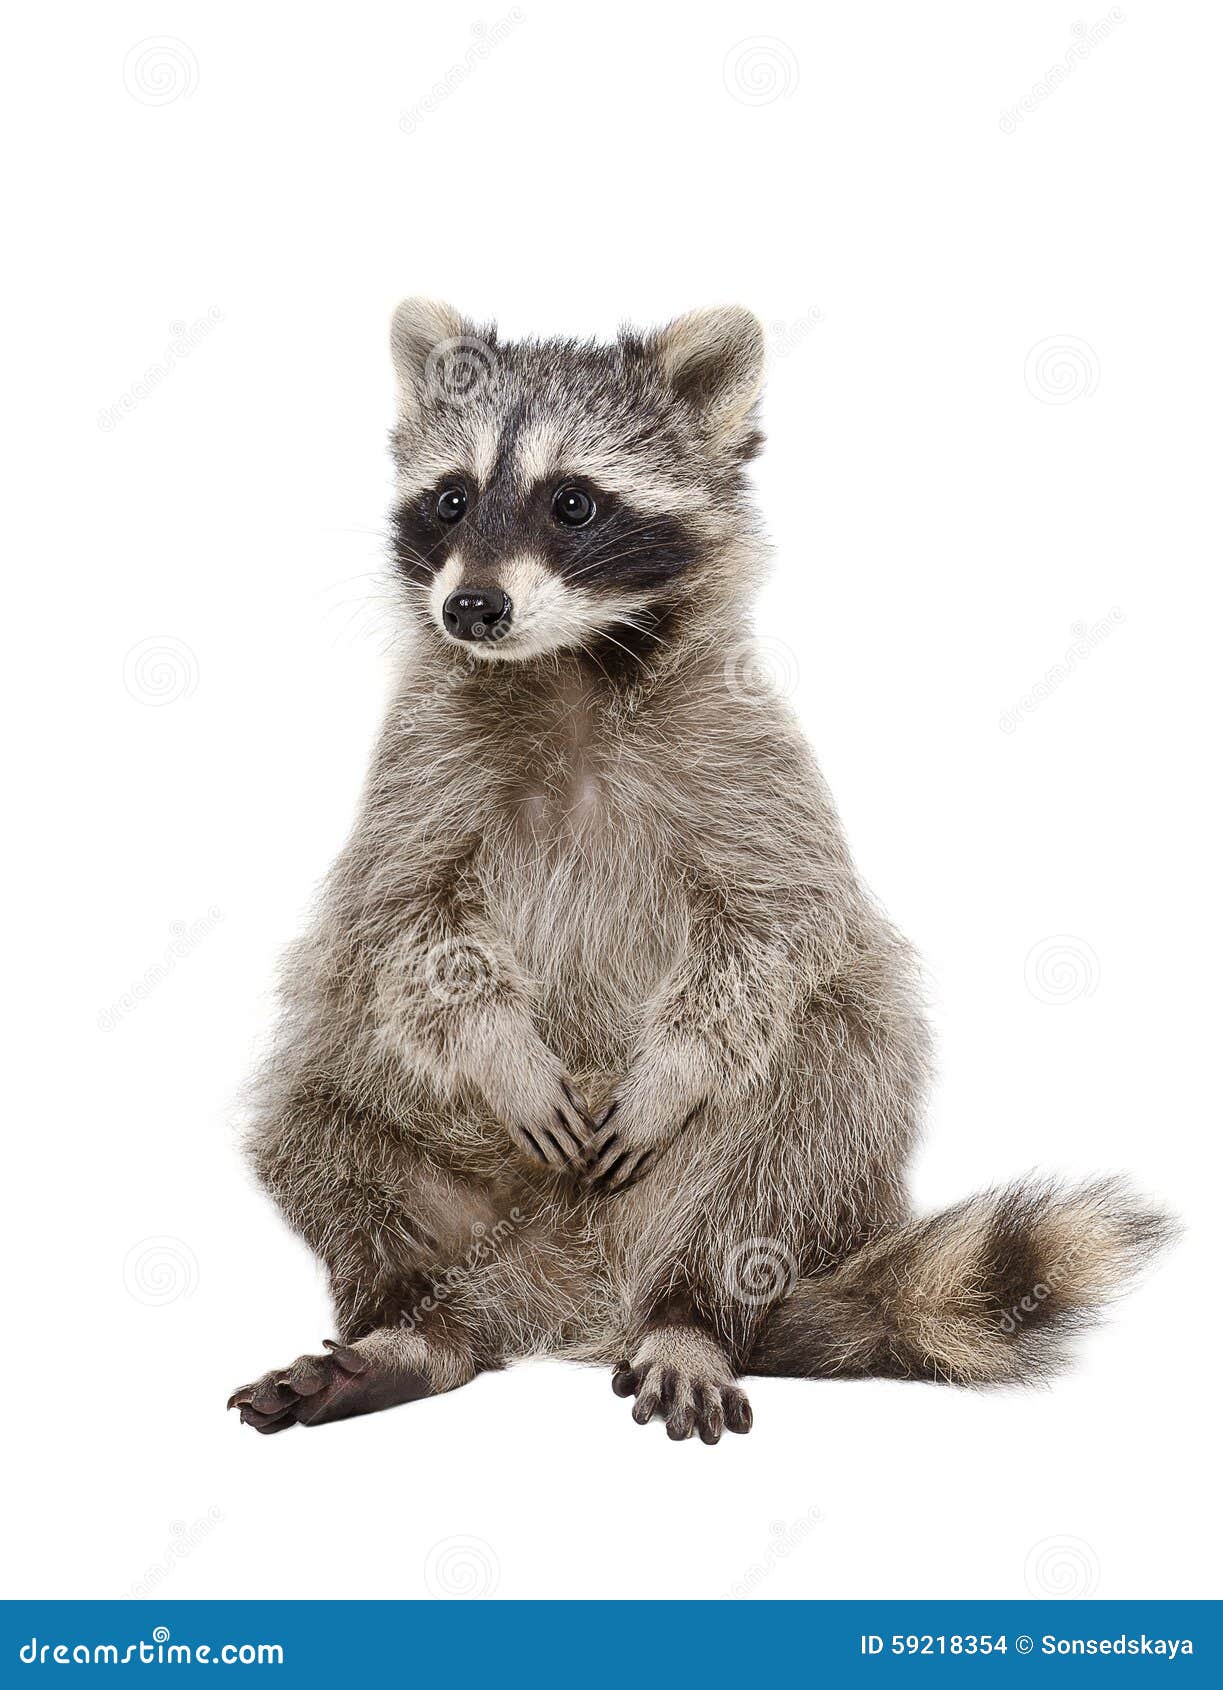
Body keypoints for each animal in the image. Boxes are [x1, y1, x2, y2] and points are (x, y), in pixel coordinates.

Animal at [229, 299, 1170, 1441]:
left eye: (573, 502)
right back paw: (413, 1326)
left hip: (767, 1187)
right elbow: (401, 920)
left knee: (823, 1072)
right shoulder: (421, 759)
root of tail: (577, 1293)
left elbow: (781, 926)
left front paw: (673, 1068)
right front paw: (500, 1046)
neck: (568, 666)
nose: (472, 609)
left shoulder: (740, 747)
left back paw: (692, 1313)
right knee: (313, 1110)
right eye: (450, 497)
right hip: (418, 1151)